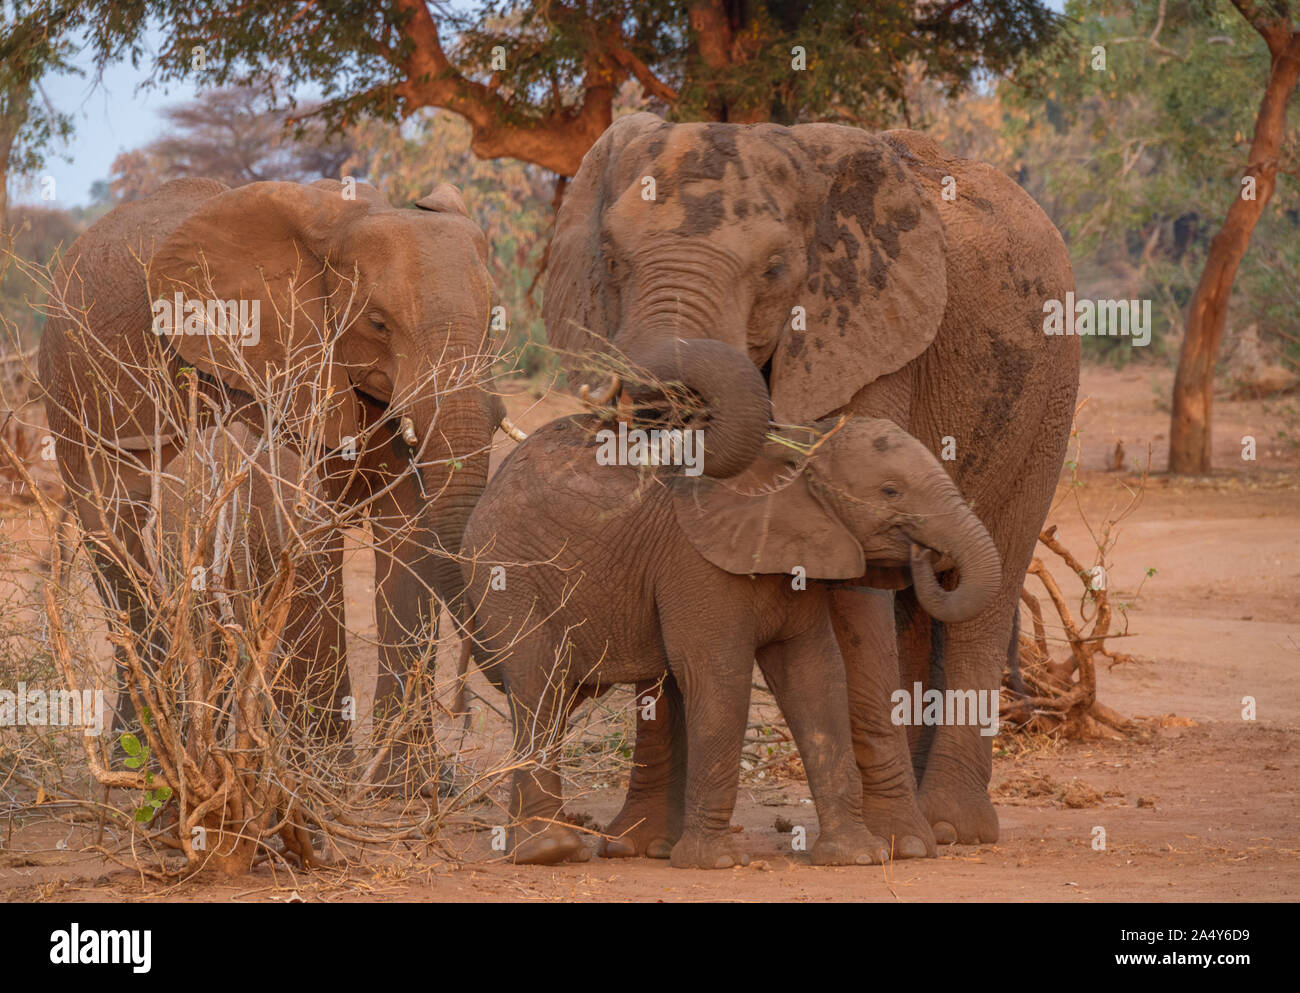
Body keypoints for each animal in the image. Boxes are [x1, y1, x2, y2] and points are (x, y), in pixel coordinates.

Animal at [38, 176, 515, 784]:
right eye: (378, 323)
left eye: (495, 320)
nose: (474, 706)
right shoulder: (261, 367)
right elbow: (301, 533)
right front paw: (329, 776)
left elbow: (406, 530)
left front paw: (411, 787)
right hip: (70, 394)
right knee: (113, 534)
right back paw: (146, 760)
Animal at [461, 391, 1002, 868]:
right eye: (891, 491)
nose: (925, 553)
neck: (795, 449)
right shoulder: (697, 563)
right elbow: (720, 678)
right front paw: (716, 863)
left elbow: (816, 678)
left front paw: (856, 857)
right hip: (508, 576)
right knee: (539, 686)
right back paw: (550, 852)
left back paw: (541, 849)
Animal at [542, 114, 1080, 853]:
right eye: (612, 258)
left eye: (773, 269)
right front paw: (639, 844)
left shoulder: (865, 337)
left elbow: (856, 590)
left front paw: (896, 845)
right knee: (918, 608)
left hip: (1049, 395)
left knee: (981, 595)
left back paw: (948, 827)